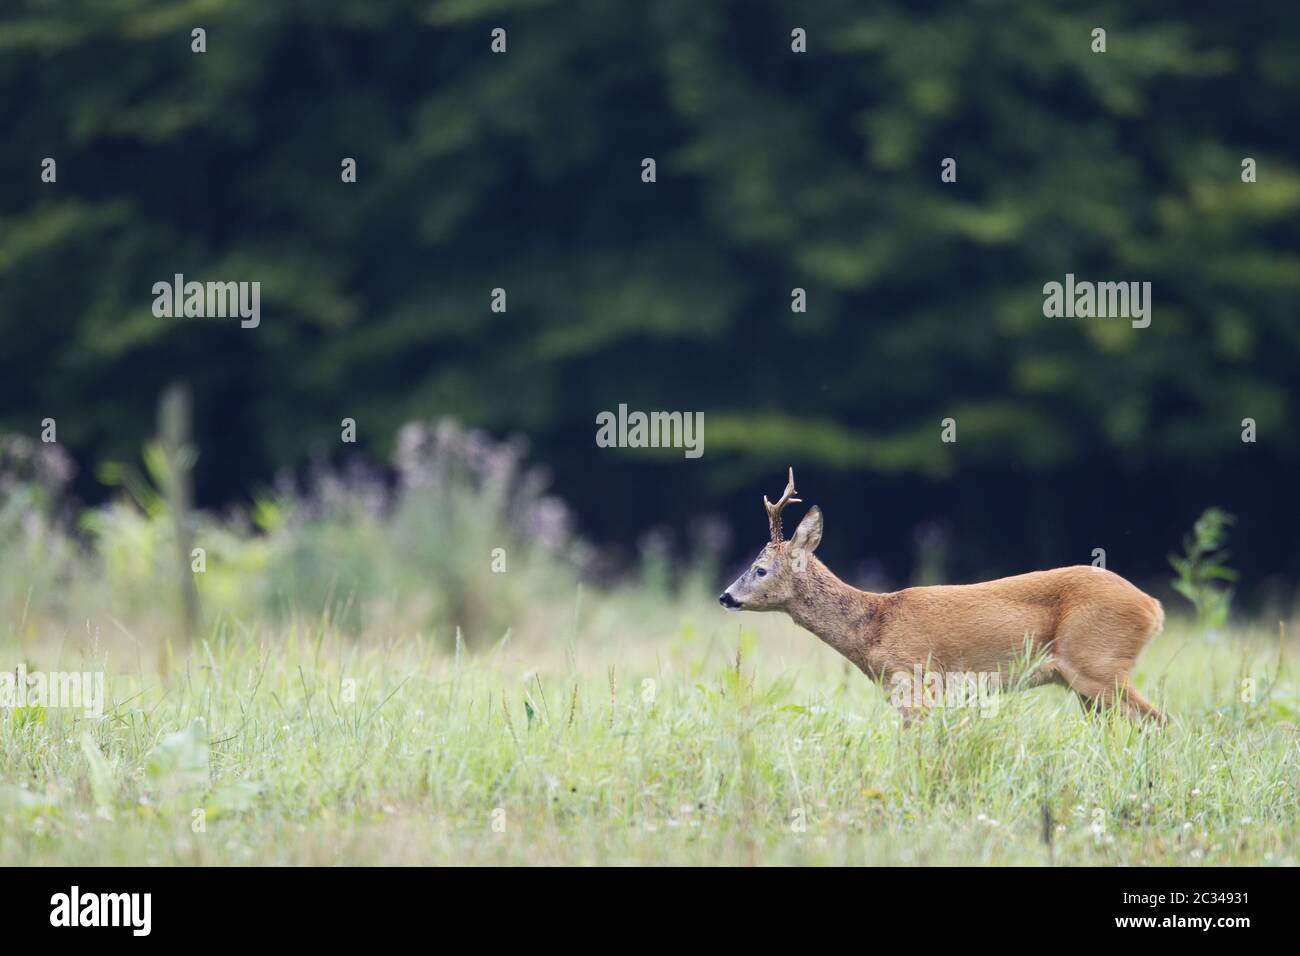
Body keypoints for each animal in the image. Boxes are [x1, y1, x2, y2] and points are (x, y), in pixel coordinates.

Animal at [719, 469, 1166, 724]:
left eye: (760, 569)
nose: (725, 596)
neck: (873, 626)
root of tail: (1154, 608)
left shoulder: (915, 679)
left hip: (1099, 664)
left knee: (1157, 721)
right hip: (1087, 683)